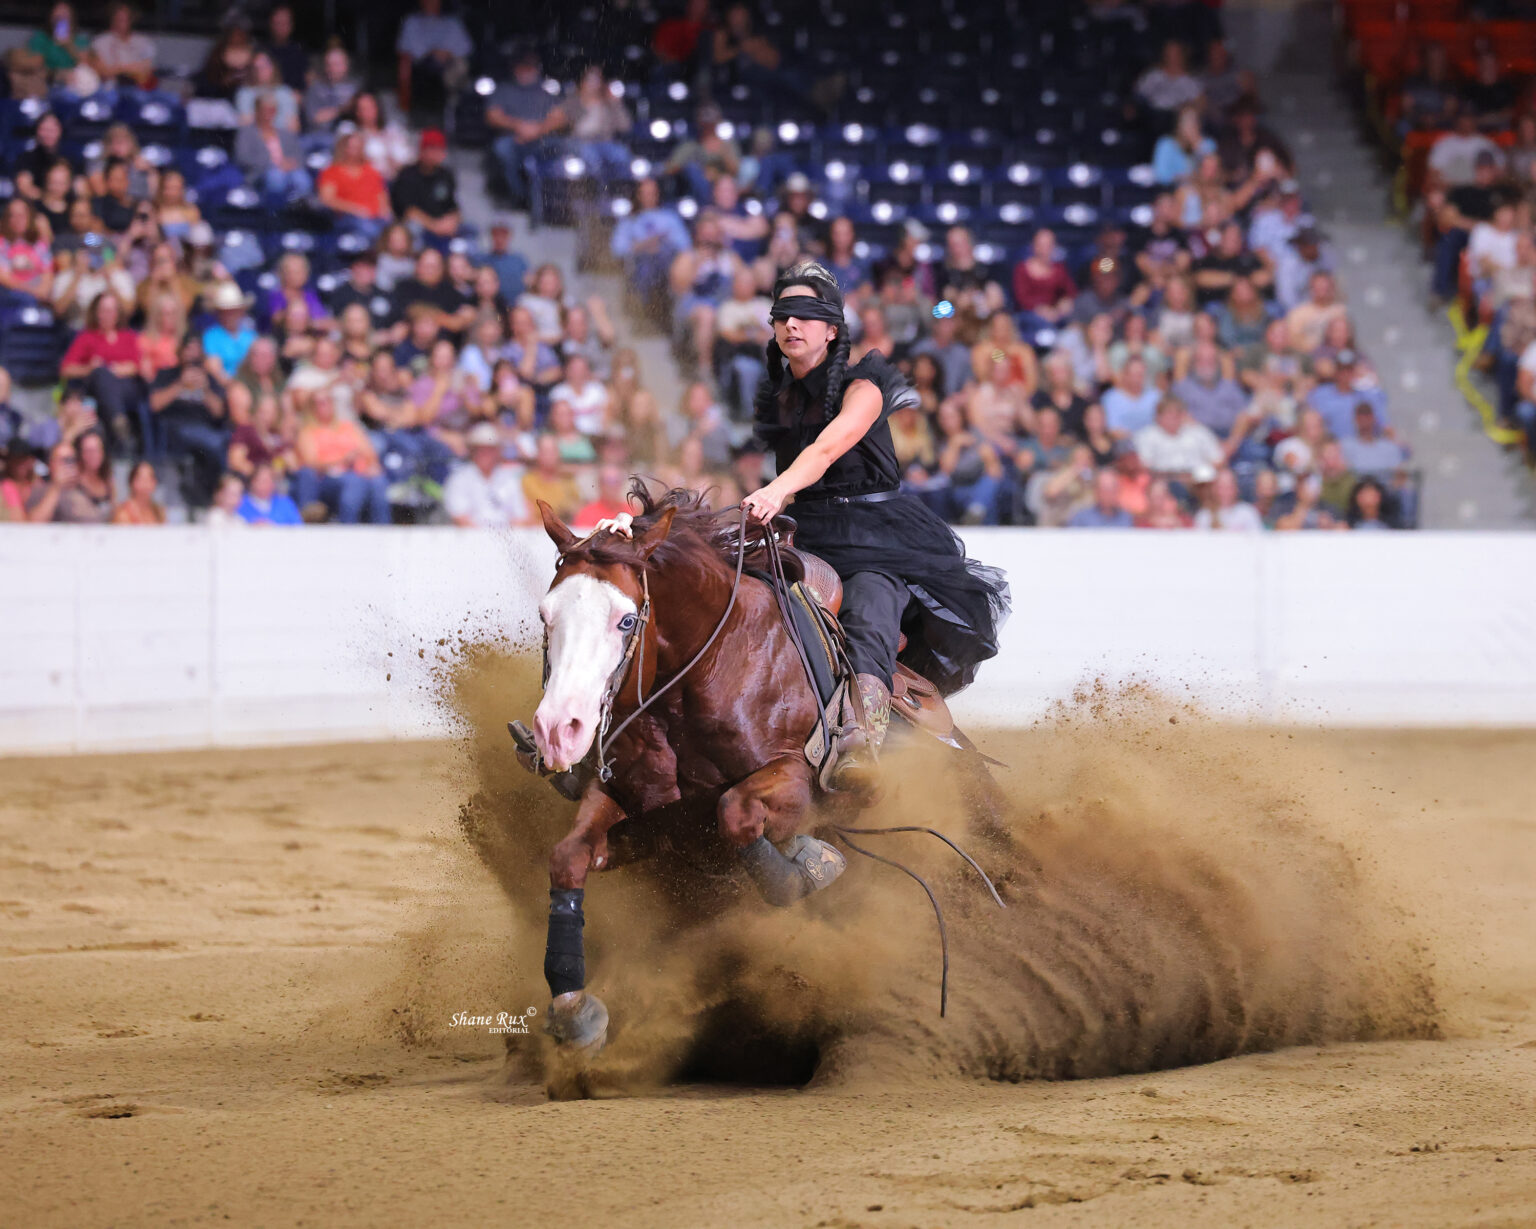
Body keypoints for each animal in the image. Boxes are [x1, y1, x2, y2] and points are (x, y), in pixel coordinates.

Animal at [526, 485, 1001, 1053]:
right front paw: (574, 1008)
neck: (707, 670)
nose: (558, 729)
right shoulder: (634, 800)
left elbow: (737, 811)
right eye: (544, 614)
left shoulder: (794, 775)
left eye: (625, 619)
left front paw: (810, 862)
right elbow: (569, 856)